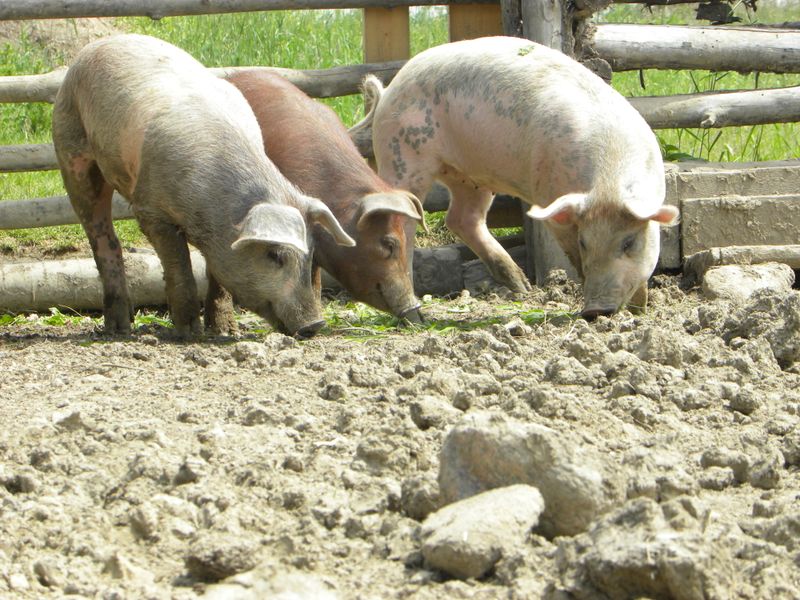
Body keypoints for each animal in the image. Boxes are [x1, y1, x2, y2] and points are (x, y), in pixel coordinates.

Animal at [52, 34, 355, 338]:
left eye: (312, 255)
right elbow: (179, 265)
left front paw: (224, 331)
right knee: (102, 235)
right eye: (275, 255)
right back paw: (119, 329)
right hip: (71, 149)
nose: (315, 325)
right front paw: (189, 333)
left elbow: (217, 275)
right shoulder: (150, 209)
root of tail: (104, 41)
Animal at [350, 36, 679, 318]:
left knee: (461, 218)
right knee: (402, 220)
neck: (607, 182)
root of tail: (388, 90)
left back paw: (522, 287)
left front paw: (641, 309)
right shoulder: (550, 197)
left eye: (629, 243)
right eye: (585, 242)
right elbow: (571, 254)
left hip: (471, 175)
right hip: (403, 156)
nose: (596, 310)